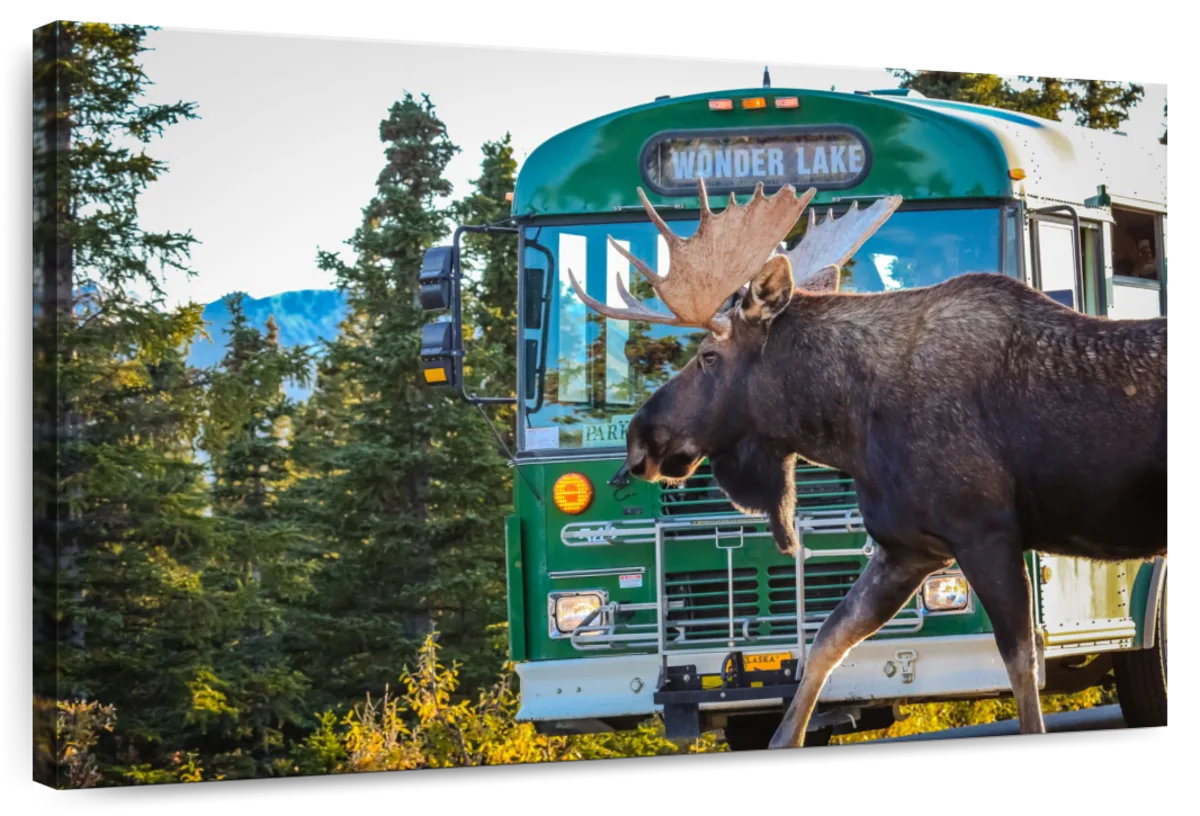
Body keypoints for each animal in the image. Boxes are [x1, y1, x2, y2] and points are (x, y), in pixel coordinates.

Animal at [569, 179, 1167, 748]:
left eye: (708, 357)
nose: (639, 439)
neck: (849, 426)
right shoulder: (907, 547)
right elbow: (826, 642)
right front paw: (785, 737)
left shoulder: (986, 532)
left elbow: (1021, 665)